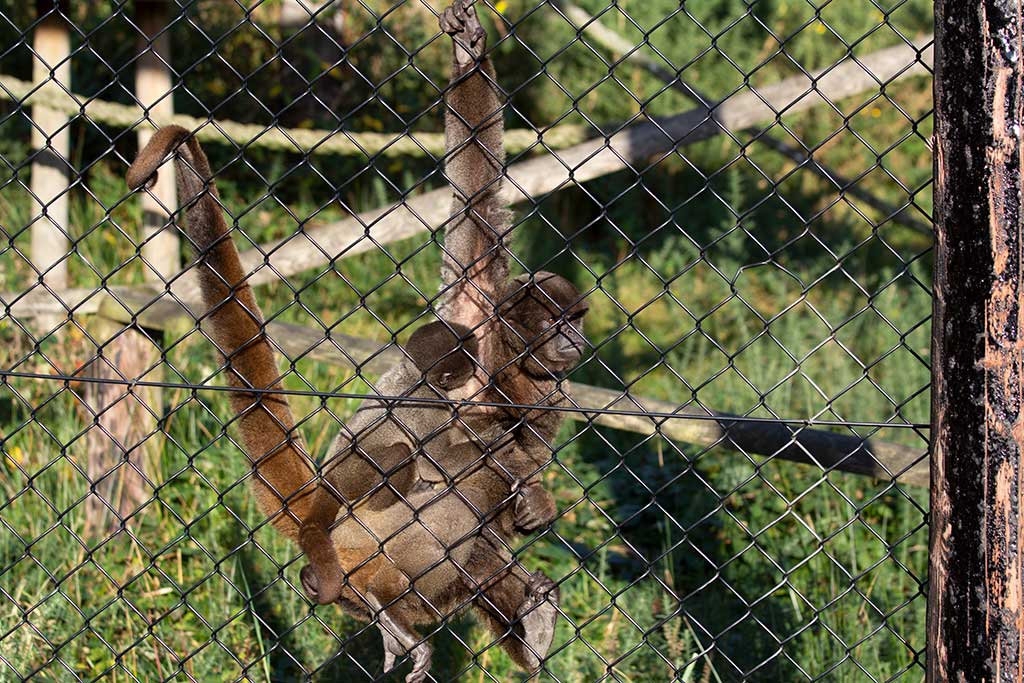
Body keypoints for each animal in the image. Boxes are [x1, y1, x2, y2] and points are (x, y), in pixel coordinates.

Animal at [124, 3, 589, 681]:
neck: (508, 371)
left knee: (480, 533)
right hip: (361, 536)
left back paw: (518, 621)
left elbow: (524, 465)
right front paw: (469, 54)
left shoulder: (548, 386)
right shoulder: (473, 321)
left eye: (579, 320)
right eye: (560, 323)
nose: (577, 340)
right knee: (434, 479)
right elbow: (477, 200)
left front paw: (537, 507)